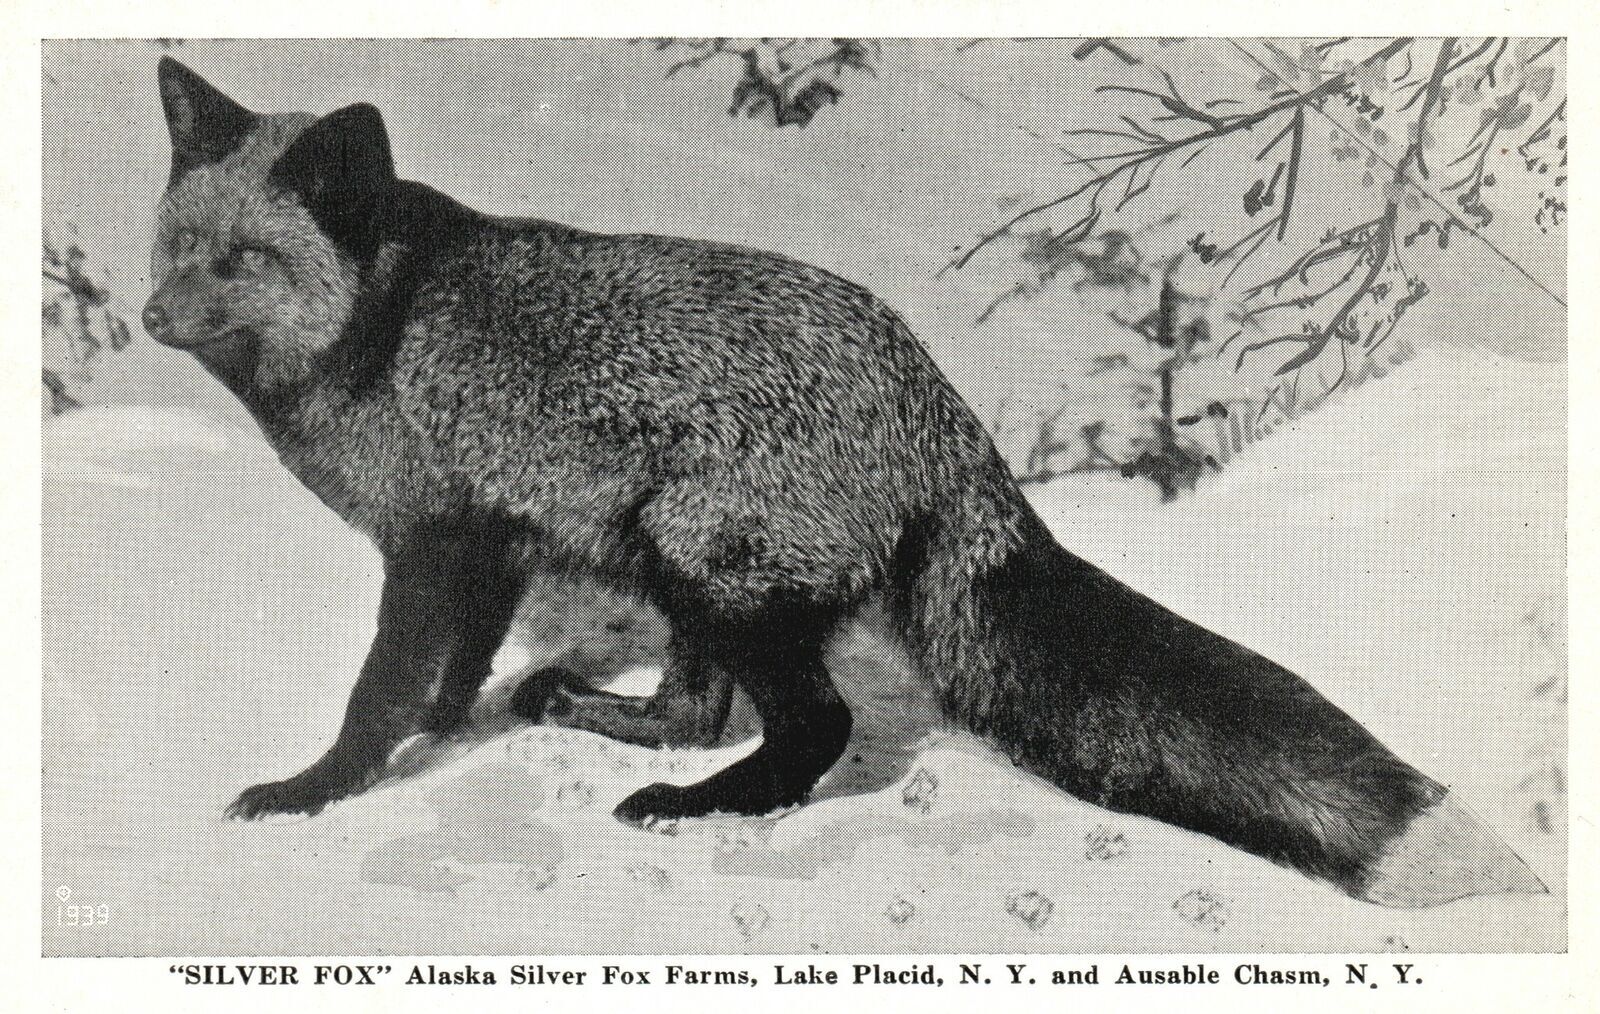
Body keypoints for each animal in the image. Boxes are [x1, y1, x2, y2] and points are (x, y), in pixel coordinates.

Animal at [143, 55, 1545, 908]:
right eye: (174, 245)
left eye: (245, 260)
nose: (152, 316)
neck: (377, 334)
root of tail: (939, 405)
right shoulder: (486, 545)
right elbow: (447, 680)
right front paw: (445, 734)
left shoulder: (437, 543)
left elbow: (379, 693)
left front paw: (314, 791)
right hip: (673, 566)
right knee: (698, 710)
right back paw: (607, 725)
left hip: (711, 563)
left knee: (809, 726)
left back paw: (697, 809)